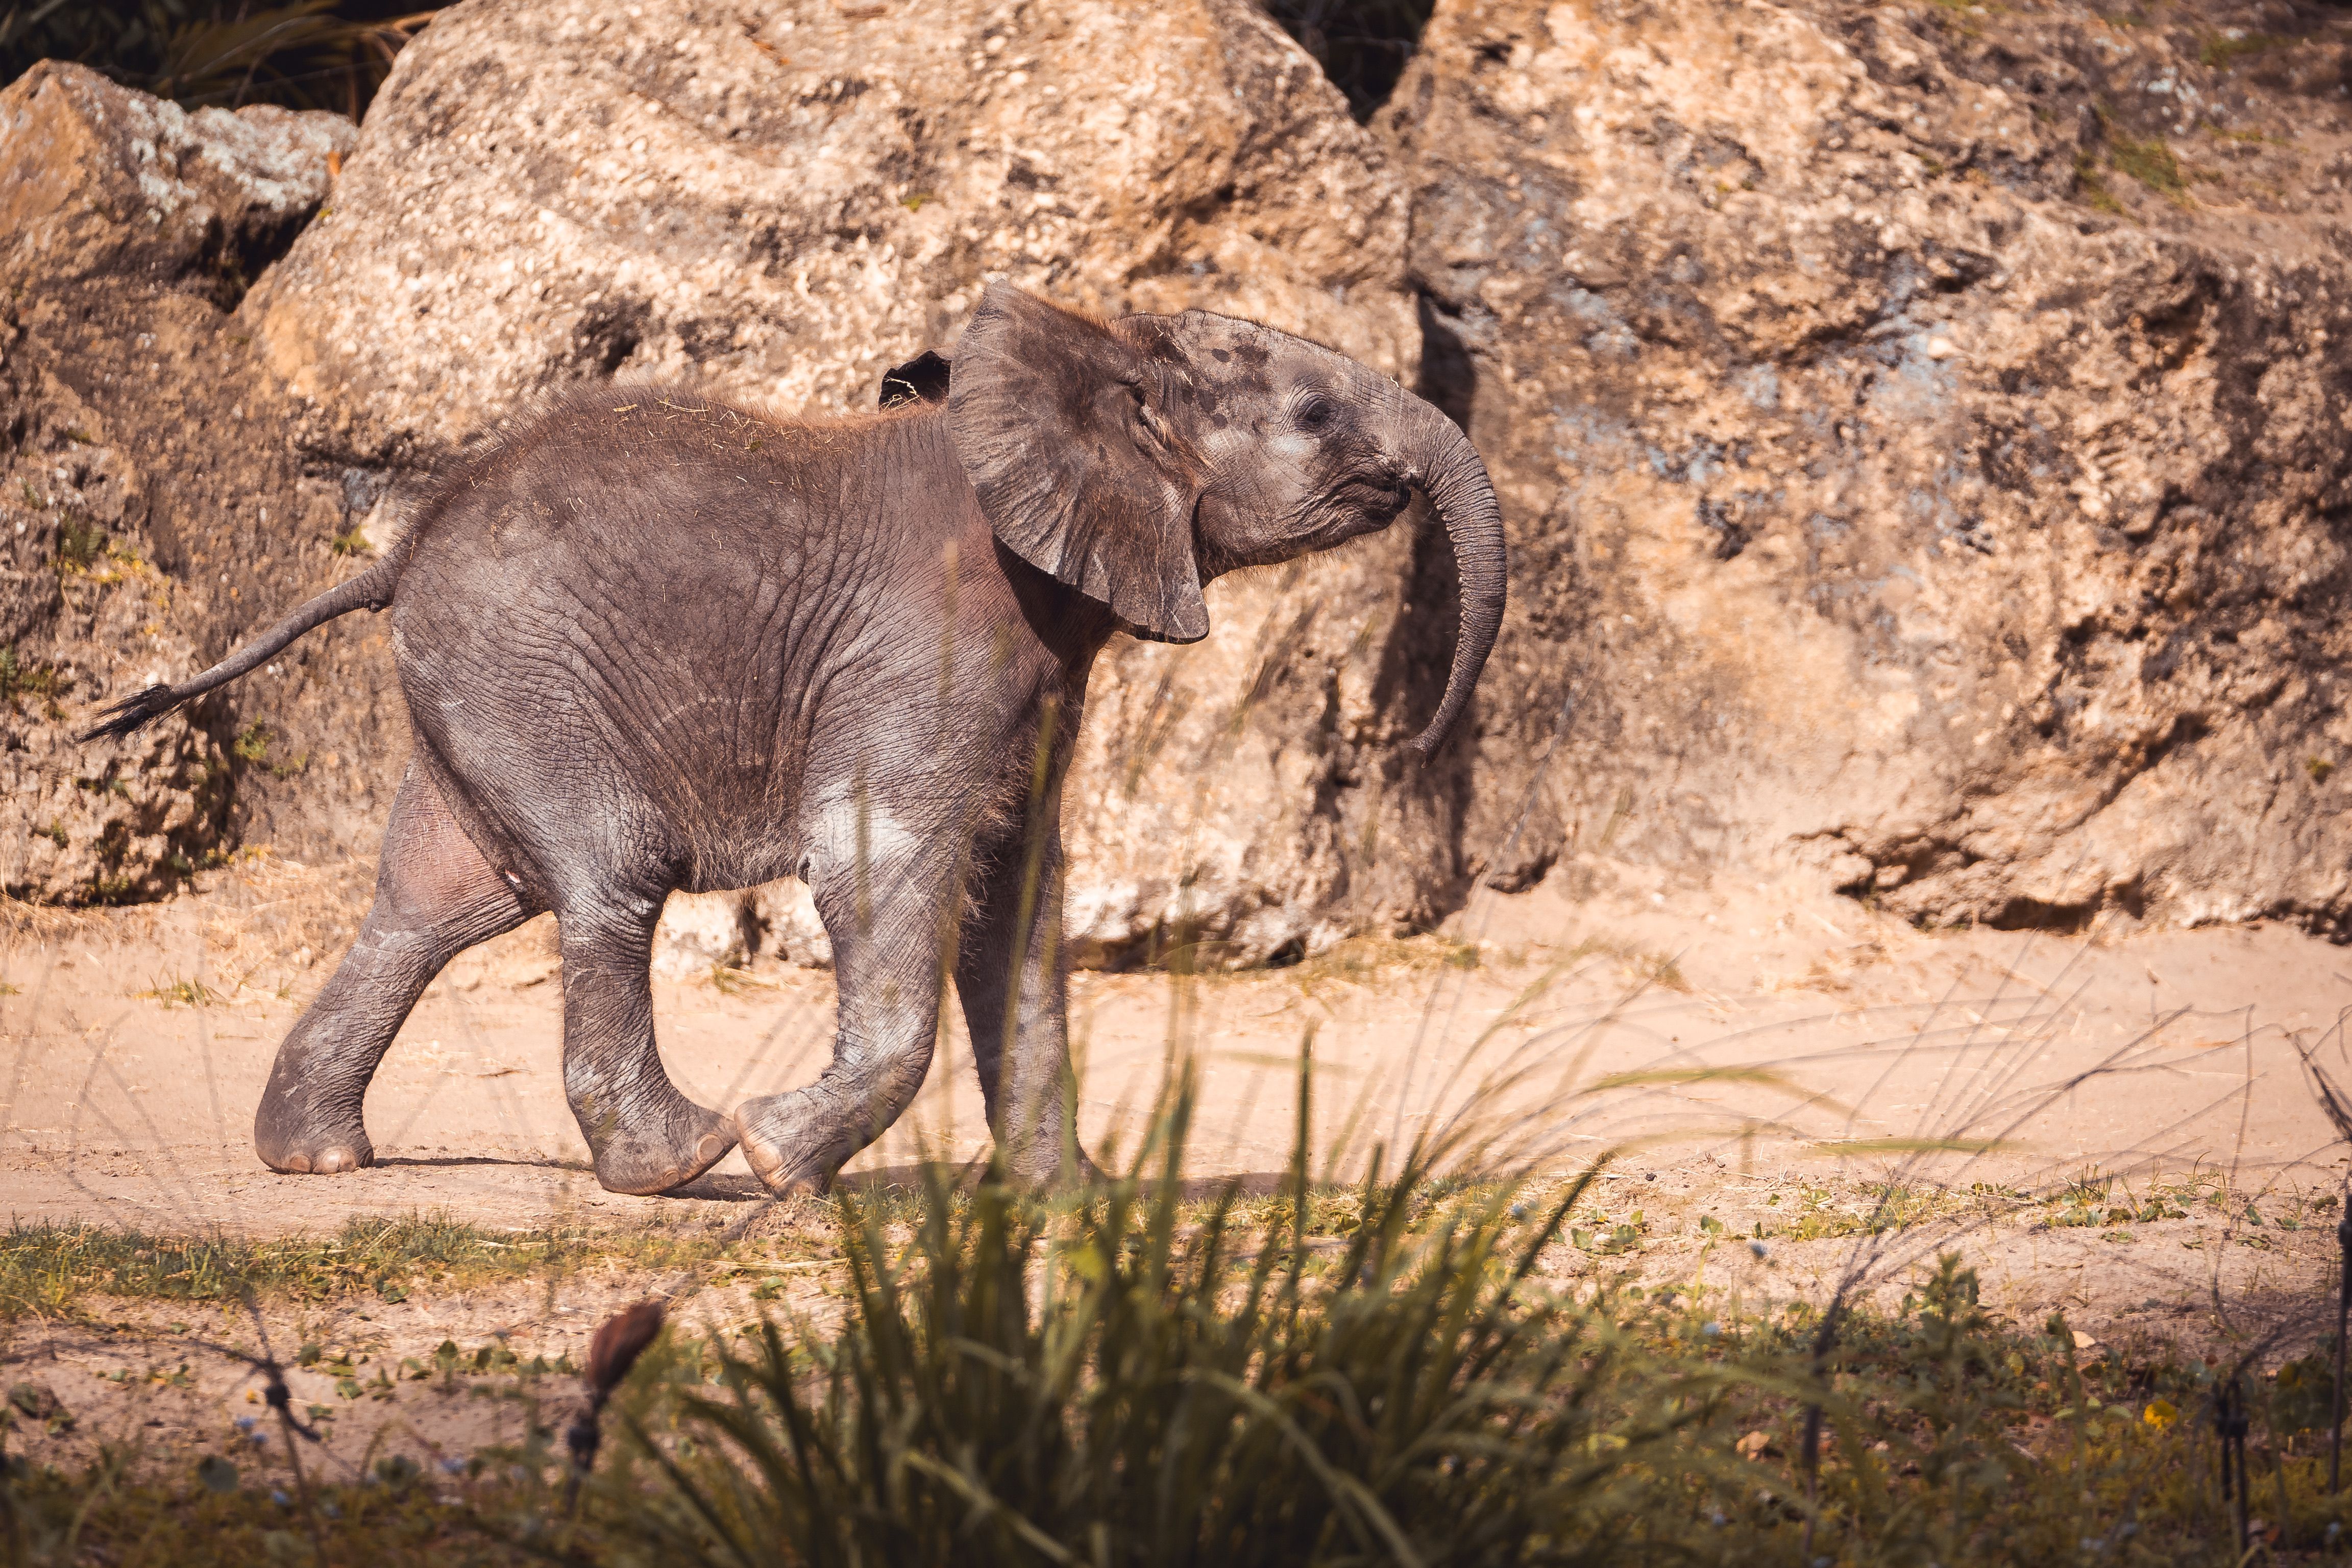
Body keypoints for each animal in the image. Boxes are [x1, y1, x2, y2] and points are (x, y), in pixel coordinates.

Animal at [82, 283, 1506, 1197]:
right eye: (1316, 415)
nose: (1422, 733)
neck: (1083, 357)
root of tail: (397, 551)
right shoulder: (930, 641)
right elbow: (884, 864)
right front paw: (779, 1158)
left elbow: (1018, 906)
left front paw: (1076, 1212)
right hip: (532, 673)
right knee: (605, 877)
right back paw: (684, 1164)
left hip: (477, 692)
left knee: (433, 904)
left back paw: (317, 1157)